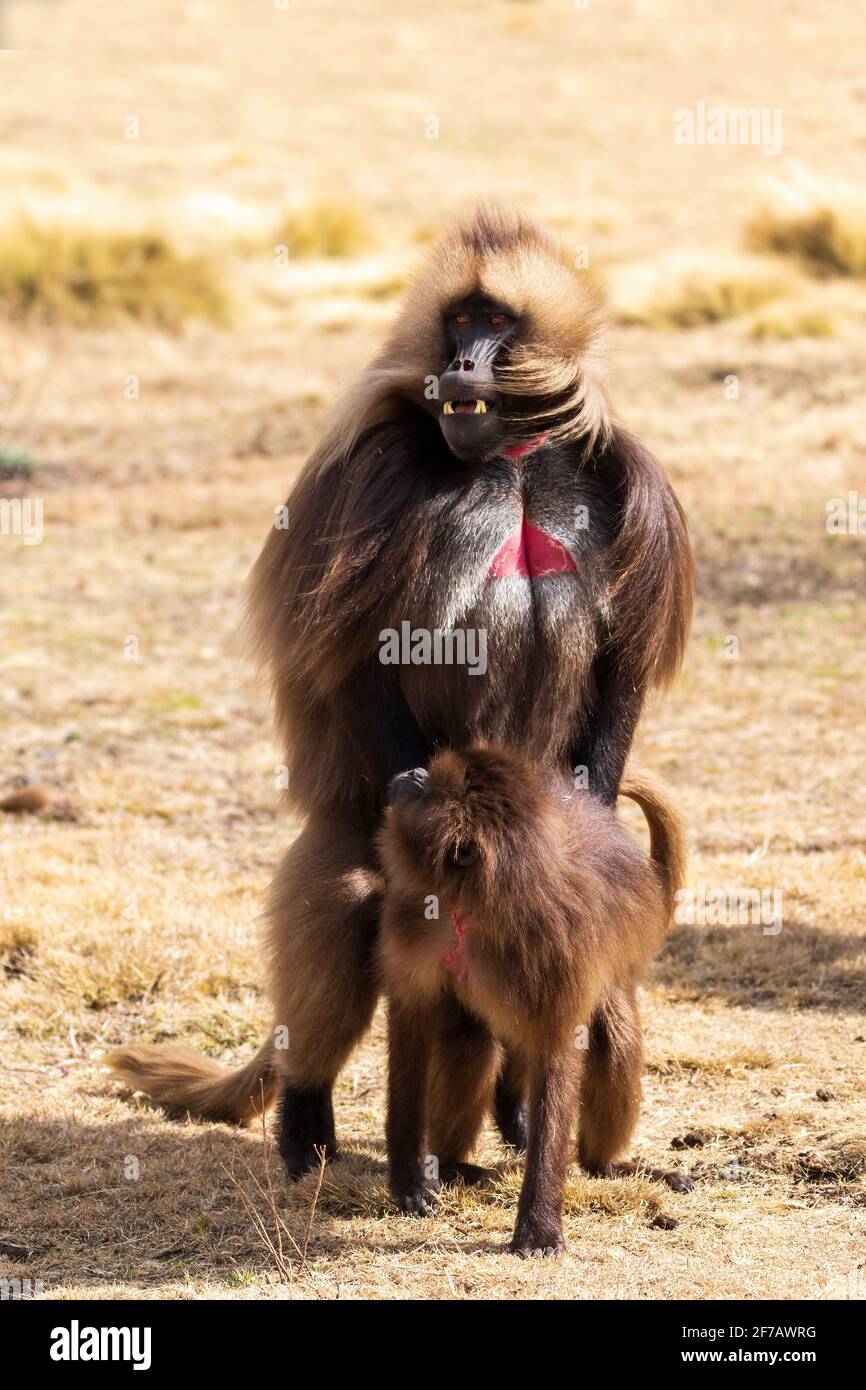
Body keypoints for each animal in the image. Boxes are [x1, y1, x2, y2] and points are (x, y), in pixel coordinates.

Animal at [108, 205, 693, 1182]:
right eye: (458, 323)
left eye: (495, 323)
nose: (462, 364)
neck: (511, 458)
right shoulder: (369, 475)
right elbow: (358, 652)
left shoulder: (628, 481)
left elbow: (623, 661)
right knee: (349, 900)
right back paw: (306, 1123)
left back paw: (517, 1115)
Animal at [378, 746, 692, 1257]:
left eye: (431, 789)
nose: (412, 772)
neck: (479, 903)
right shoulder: (417, 923)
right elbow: (412, 1027)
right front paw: (409, 1184)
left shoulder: (555, 948)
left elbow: (557, 1057)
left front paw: (538, 1227)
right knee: (473, 1041)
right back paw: (454, 1165)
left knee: (615, 1037)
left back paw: (606, 1164)